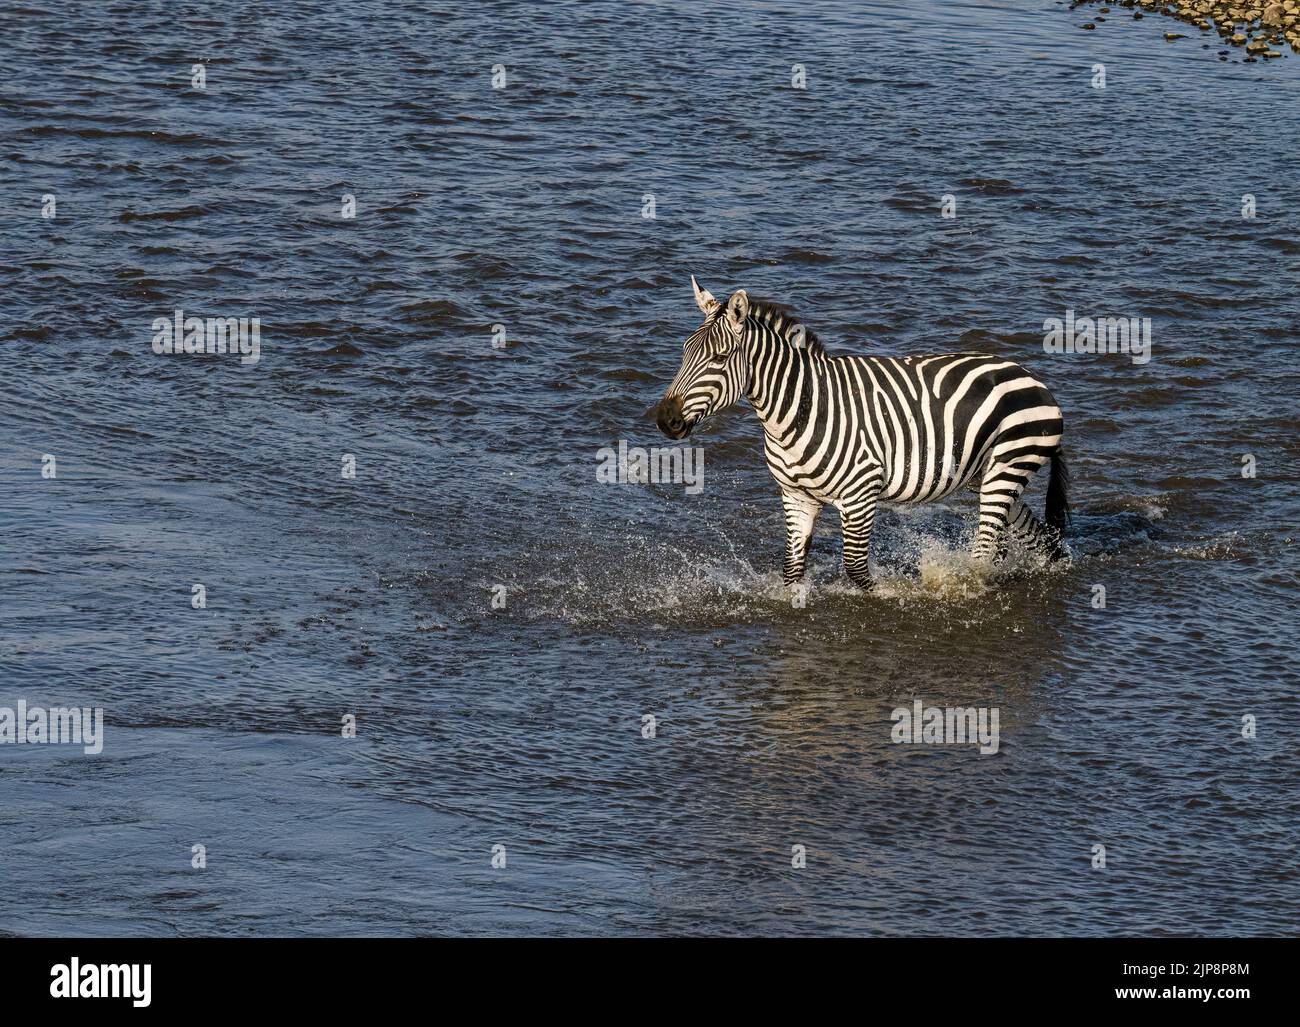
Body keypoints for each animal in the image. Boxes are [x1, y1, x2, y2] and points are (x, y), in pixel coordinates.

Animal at [653, 277, 1069, 590]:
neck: (797, 412)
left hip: (1005, 466)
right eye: (685, 351)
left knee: (985, 550)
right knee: (1039, 537)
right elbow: (792, 569)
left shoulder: (860, 494)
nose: (664, 419)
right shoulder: (796, 496)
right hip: (985, 475)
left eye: (719, 358)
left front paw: (890, 595)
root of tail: (1031, 377)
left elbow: (855, 567)